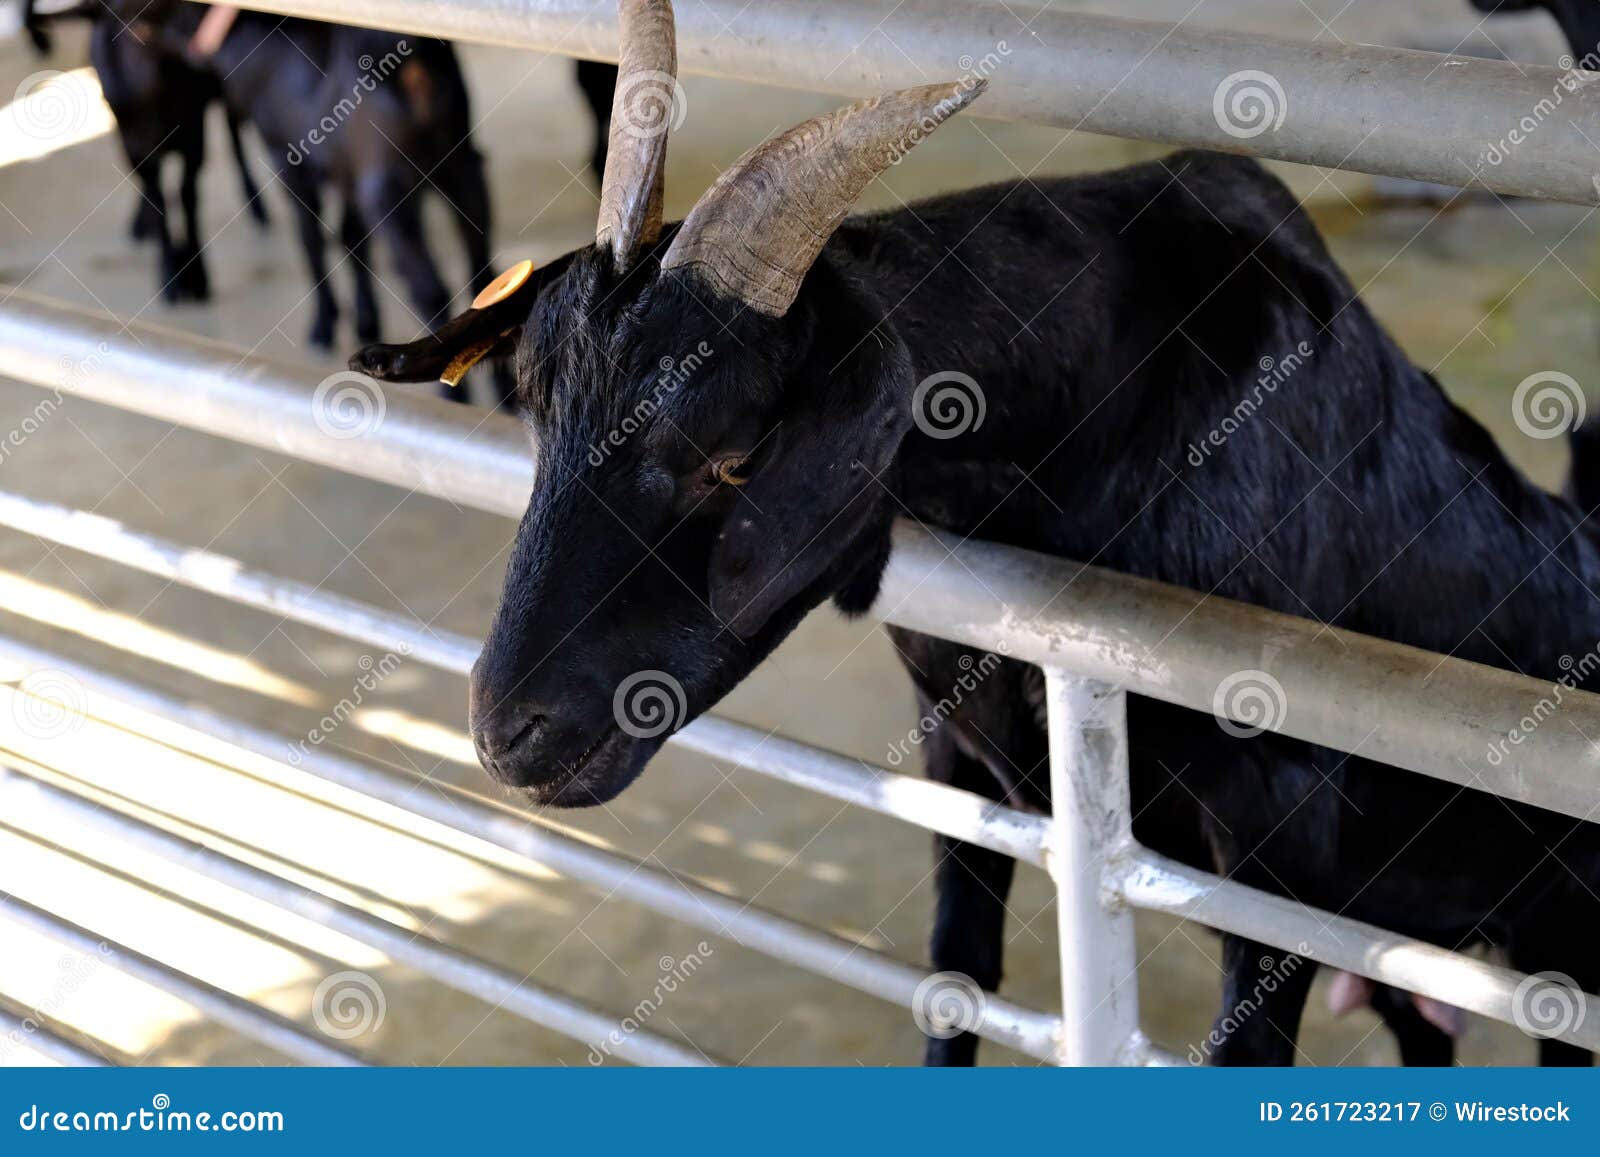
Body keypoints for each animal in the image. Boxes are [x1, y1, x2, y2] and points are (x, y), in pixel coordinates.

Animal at [23, 0, 268, 303]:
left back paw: (257, 206)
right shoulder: (133, 145)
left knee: (234, 135)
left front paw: (197, 276)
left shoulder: (193, 136)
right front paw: (170, 278)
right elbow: (157, 199)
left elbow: (187, 196)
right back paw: (140, 225)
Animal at [352, 0, 1600, 1066]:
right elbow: (955, 979)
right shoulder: (956, 739)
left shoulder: (1276, 825)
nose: (507, 732)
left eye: (736, 456)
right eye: (534, 409)